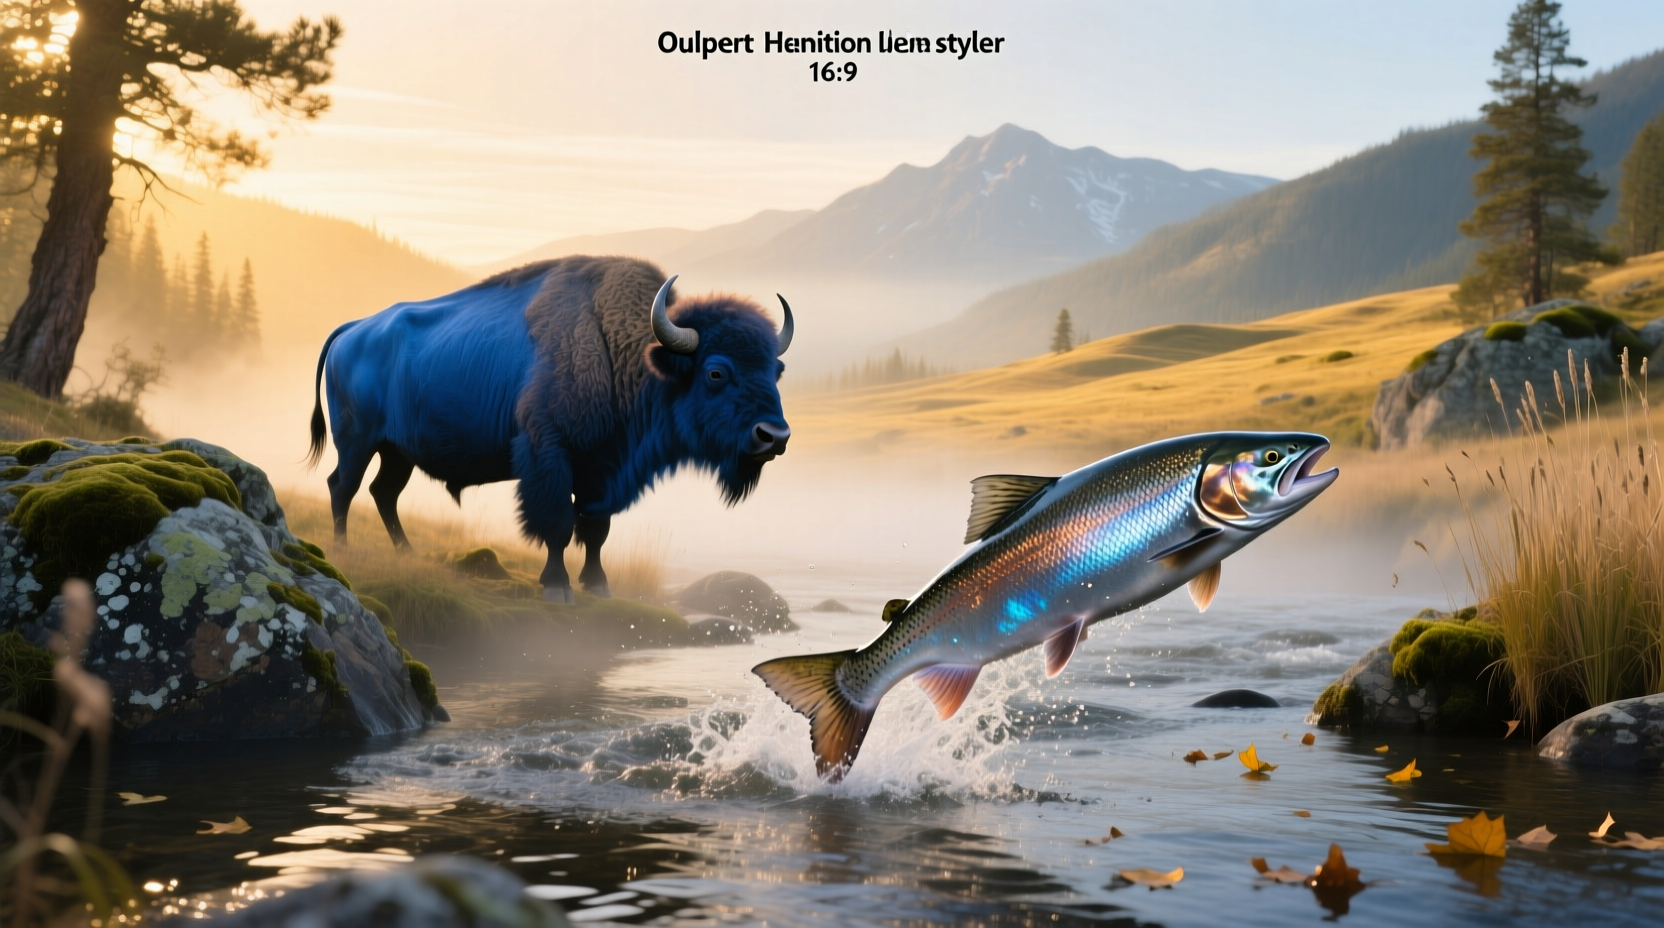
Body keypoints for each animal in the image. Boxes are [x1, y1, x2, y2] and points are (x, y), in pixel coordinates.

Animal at [306, 256, 794, 602]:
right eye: (716, 372)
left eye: (776, 370)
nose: (775, 437)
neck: (619, 351)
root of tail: (353, 329)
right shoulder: (550, 455)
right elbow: (557, 525)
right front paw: (557, 587)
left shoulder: (603, 470)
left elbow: (596, 530)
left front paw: (598, 585)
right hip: (357, 442)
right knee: (342, 486)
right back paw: (344, 550)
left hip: (398, 452)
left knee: (382, 493)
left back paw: (406, 552)